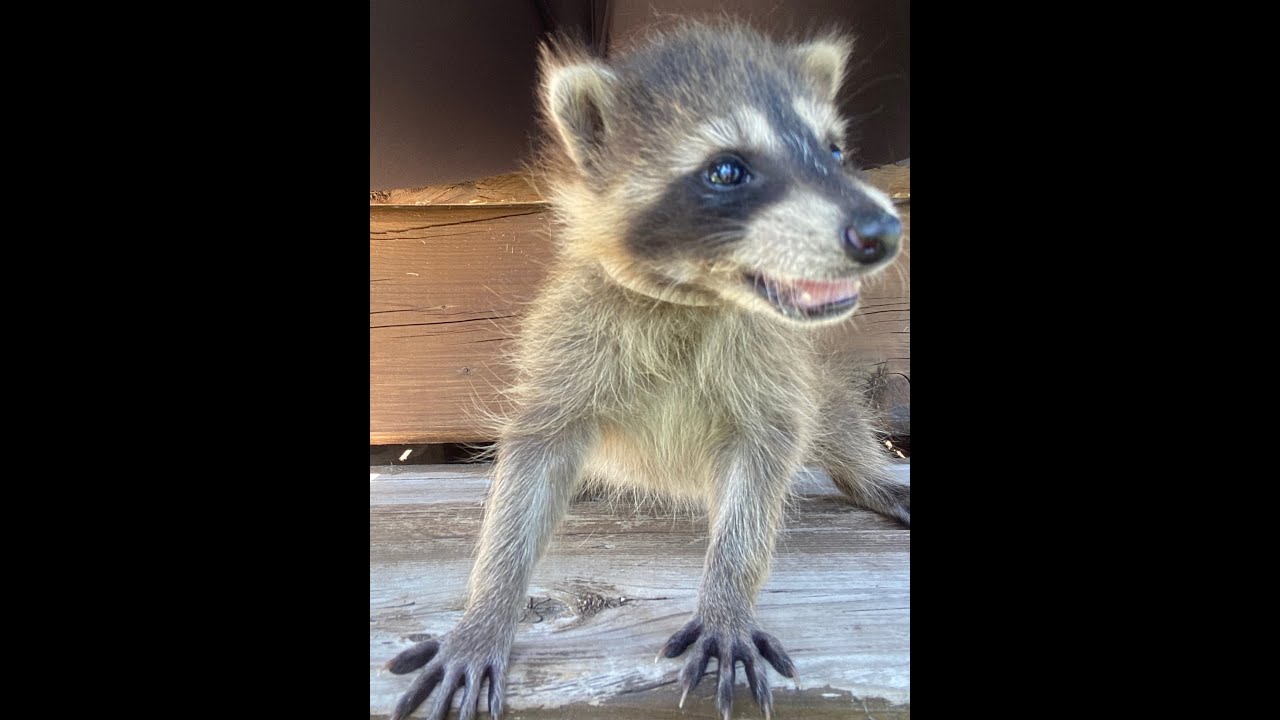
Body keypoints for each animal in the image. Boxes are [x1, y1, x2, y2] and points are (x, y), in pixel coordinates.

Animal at [387, 21, 909, 720]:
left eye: (834, 150)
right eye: (727, 170)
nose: (882, 231)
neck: (695, 295)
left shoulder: (773, 363)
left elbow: (767, 456)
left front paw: (727, 596)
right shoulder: (568, 341)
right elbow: (532, 464)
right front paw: (488, 606)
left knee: (833, 415)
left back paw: (868, 475)